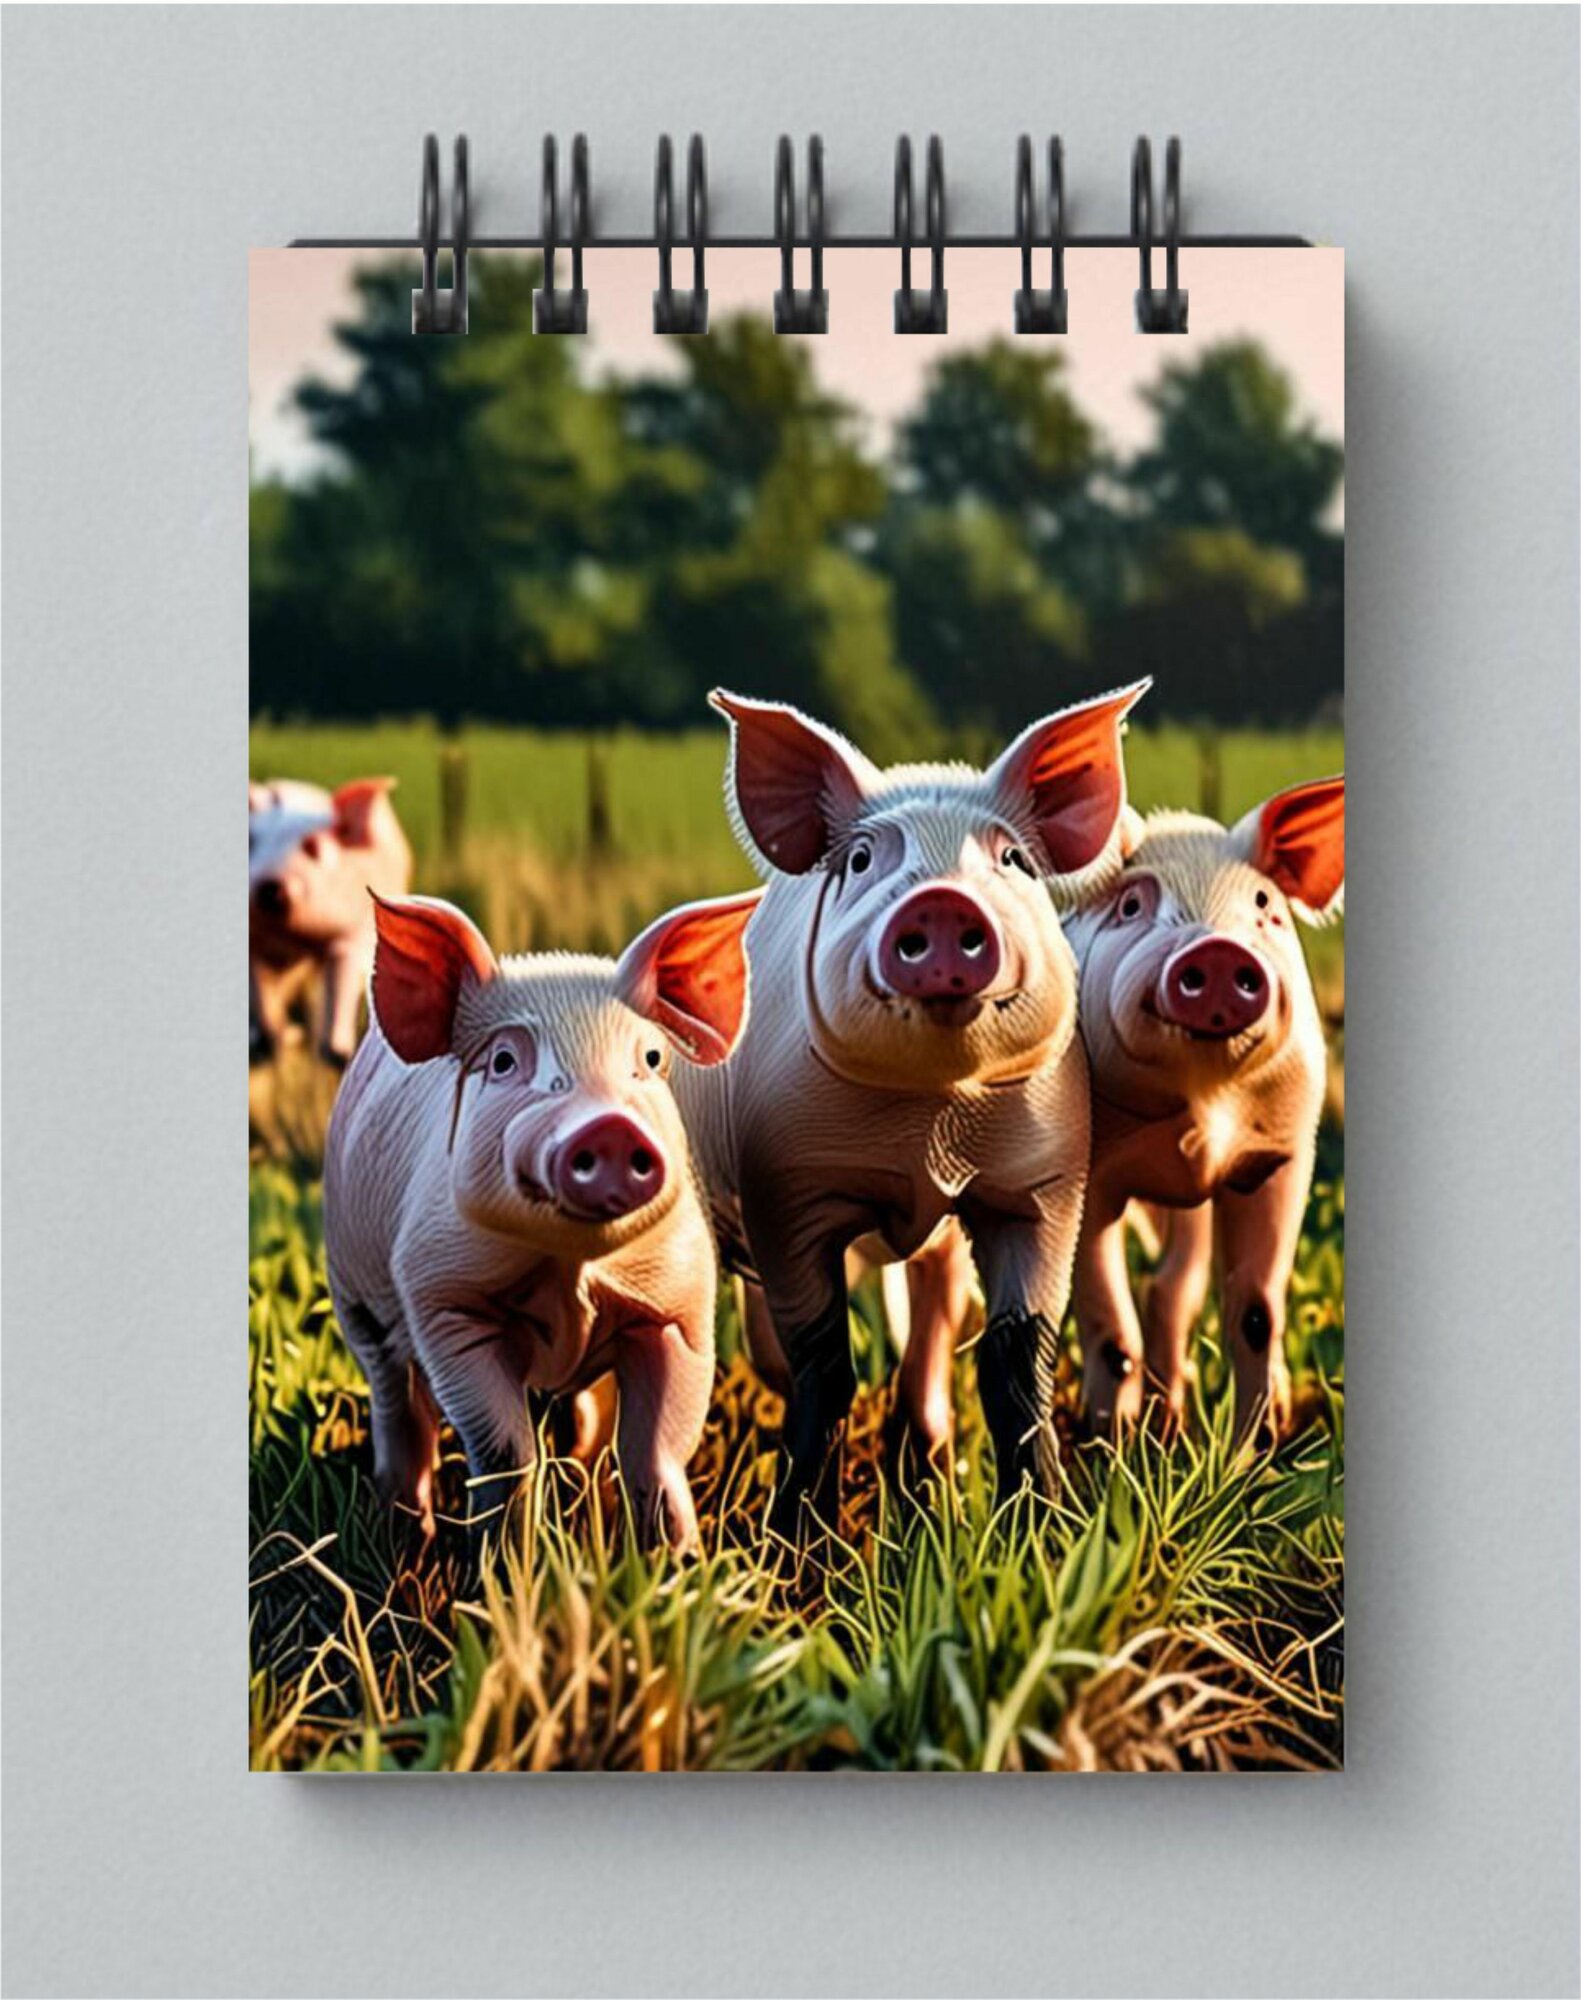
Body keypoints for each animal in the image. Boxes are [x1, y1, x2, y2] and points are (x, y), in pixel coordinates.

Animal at [249, 777, 413, 1066]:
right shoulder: (255, 946)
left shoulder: (347, 939)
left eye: (312, 847)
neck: (289, 938)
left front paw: (337, 1055)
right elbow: (261, 996)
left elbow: (339, 989)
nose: (270, 885)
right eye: (249, 841)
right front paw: (270, 1046)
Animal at [323, 889, 758, 1550]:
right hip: (354, 1298)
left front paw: (674, 1560)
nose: (609, 1127)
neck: (569, 1266)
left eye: (651, 1057)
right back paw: (407, 1530)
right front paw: (504, 1559)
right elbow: (505, 1448)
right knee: (397, 1405)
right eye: (504, 1061)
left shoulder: (678, 1303)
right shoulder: (444, 1298)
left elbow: (658, 1448)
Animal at [677, 683, 1148, 1536]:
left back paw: (926, 1475)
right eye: (864, 860)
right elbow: (826, 1365)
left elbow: (1015, 1362)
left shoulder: (1042, 1184)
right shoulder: (789, 1191)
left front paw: (1044, 1532)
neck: (929, 1130)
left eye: (1012, 860)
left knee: (929, 1324)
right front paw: (799, 1542)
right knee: (778, 1353)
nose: (940, 903)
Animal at [1062, 777, 1344, 1443]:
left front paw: (1257, 1451)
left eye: (1264, 903)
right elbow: (1110, 1328)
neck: (1202, 1105)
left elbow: (1257, 1311)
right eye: (1131, 906)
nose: (1216, 950)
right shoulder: (1089, 1178)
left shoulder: (1281, 1157)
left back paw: (1176, 1421)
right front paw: (1106, 1450)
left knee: (1172, 1287)